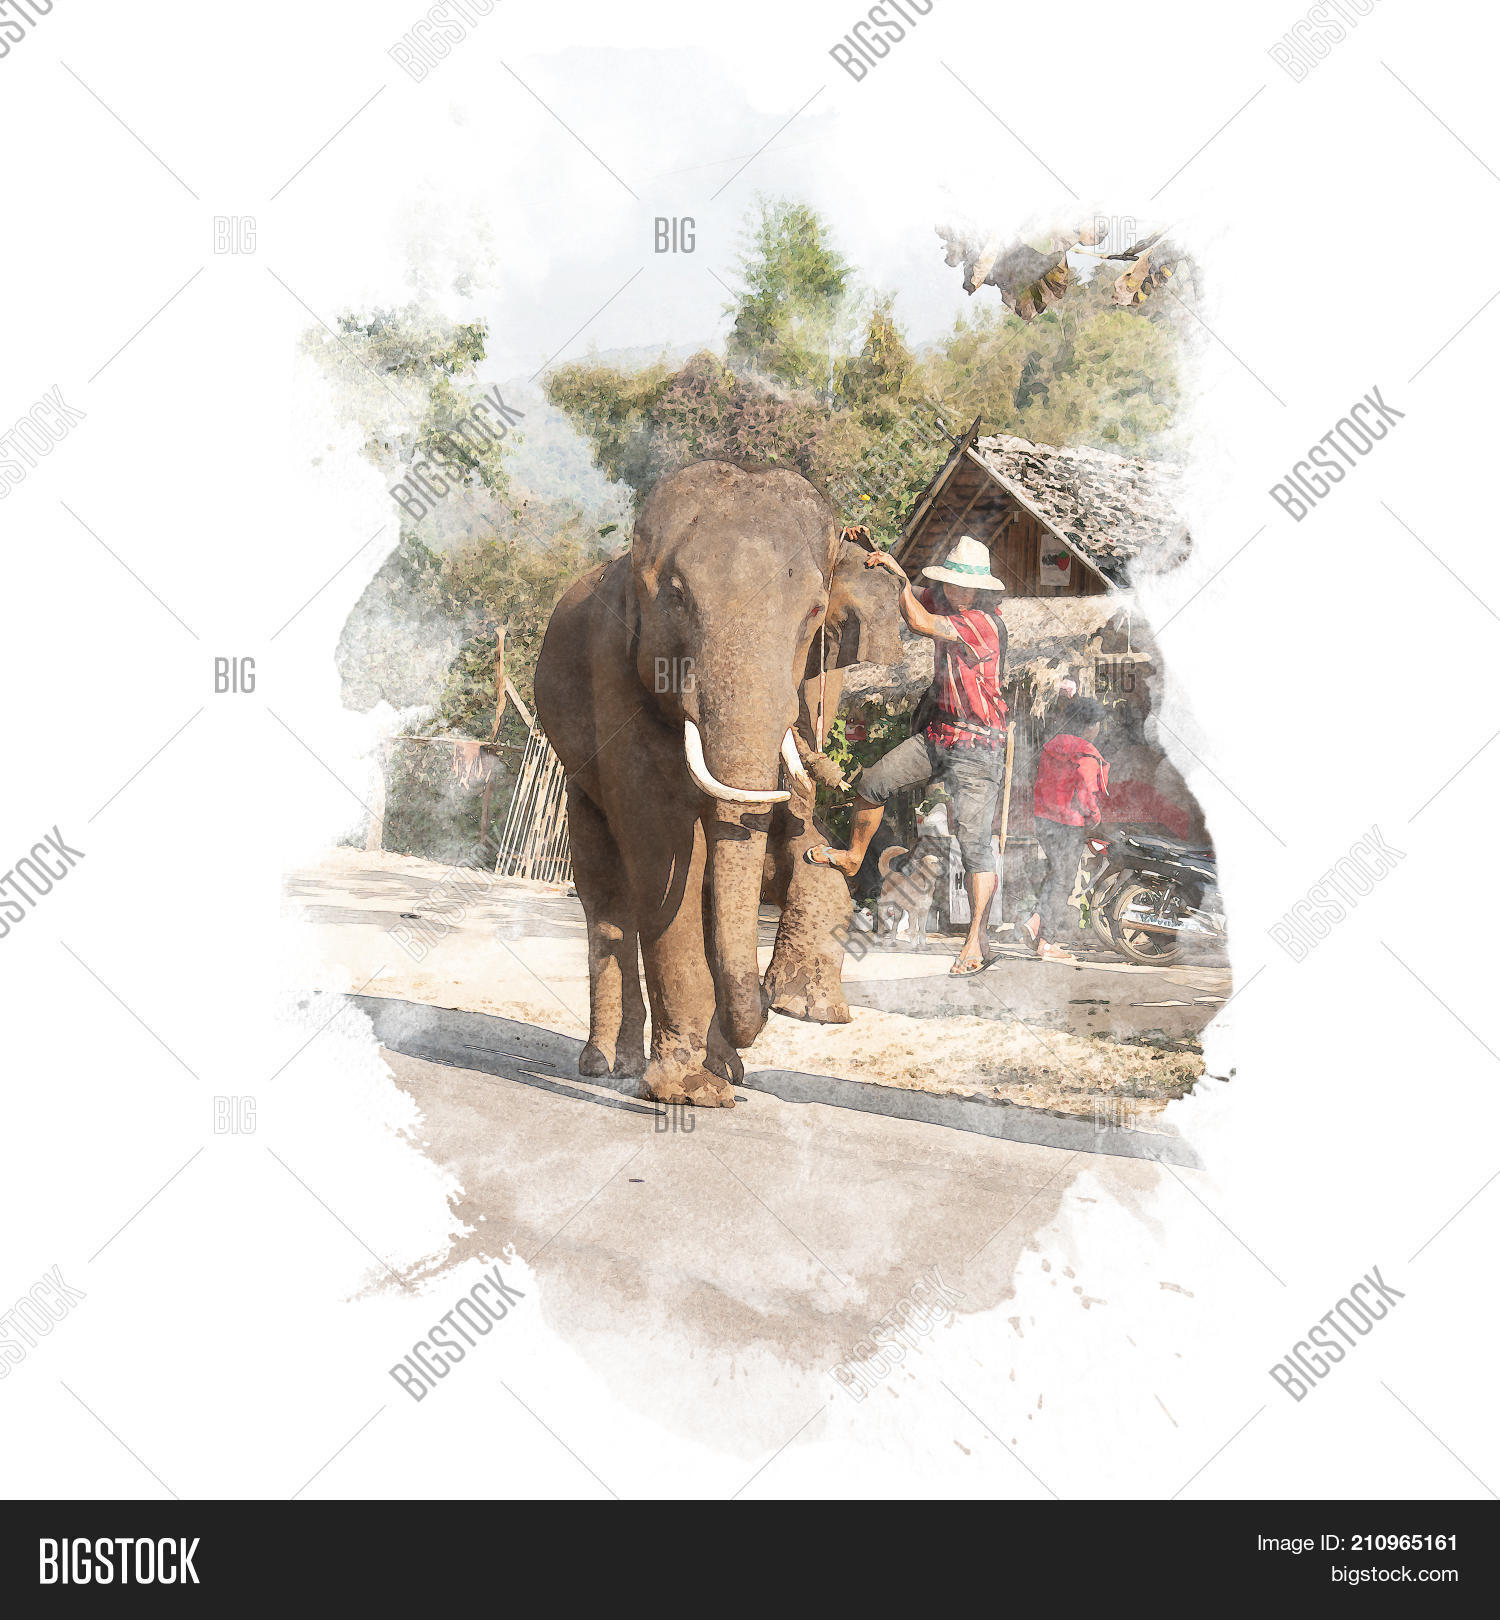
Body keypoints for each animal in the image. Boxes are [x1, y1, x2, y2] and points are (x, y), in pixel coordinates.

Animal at [533, 459, 903, 1107]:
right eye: (678, 597)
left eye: (814, 612)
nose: (763, 1002)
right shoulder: (613, 672)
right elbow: (663, 849)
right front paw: (690, 1091)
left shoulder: (810, 694)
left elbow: (766, 841)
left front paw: (797, 1009)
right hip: (575, 775)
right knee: (607, 895)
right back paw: (612, 1065)